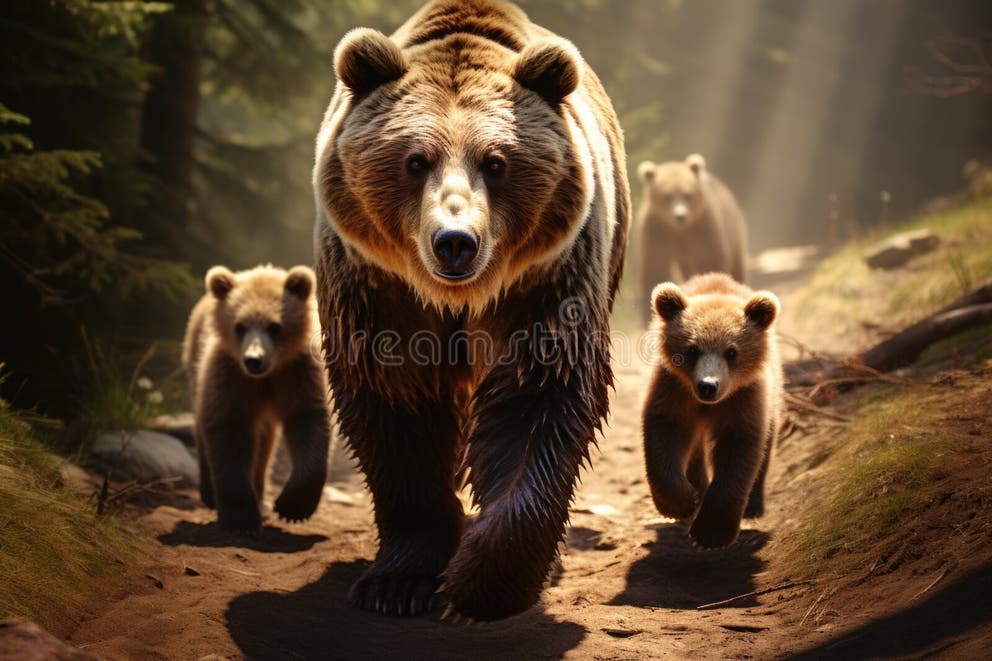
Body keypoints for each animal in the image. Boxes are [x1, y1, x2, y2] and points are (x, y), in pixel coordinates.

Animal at [182, 264, 332, 534]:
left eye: (274, 326)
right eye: (240, 326)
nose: (253, 360)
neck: (267, 377)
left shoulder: (298, 372)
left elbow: (308, 420)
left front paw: (291, 507)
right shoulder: (231, 376)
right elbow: (229, 431)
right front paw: (241, 519)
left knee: (264, 443)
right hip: (196, 363)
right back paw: (210, 494)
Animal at [313, 0, 630, 620]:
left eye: (497, 162)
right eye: (415, 161)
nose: (455, 241)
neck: (457, 297)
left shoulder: (545, 280)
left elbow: (539, 396)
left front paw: (481, 584)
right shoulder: (378, 285)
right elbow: (397, 403)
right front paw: (401, 581)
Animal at [637, 154, 748, 324]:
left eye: (687, 195)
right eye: (667, 196)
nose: (680, 216)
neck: (679, 231)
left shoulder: (702, 228)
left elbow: (710, 260)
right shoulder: (657, 231)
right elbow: (655, 267)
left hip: (733, 230)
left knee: (737, 265)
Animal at [641, 272, 782, 549]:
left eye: (732, 351)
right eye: (692, 349)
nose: (708, 385)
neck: (709, 406)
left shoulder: (743, 399)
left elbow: (738, 451)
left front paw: (711, 533)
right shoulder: (674, 390)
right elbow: (665, 434)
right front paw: (681, 502)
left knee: (767, 441)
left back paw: (753, 505)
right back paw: (698, 488)